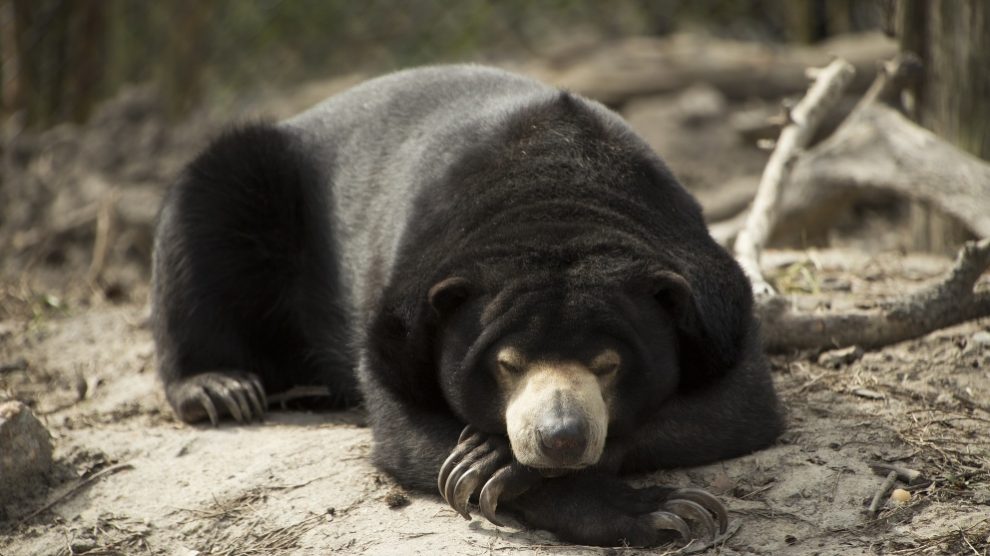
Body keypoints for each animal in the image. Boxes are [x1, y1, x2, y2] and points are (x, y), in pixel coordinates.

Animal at [151, 64, 783, 547]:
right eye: (507, 363)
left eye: (609, 364)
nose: (560, 438)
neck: (558, 196)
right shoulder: (400, 320)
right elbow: (410, 431)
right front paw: (659, 510)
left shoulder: (717, 311)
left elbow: (735, 408)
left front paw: (500, 459)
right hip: (255, 186)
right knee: (202, 219)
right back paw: (219, 388)